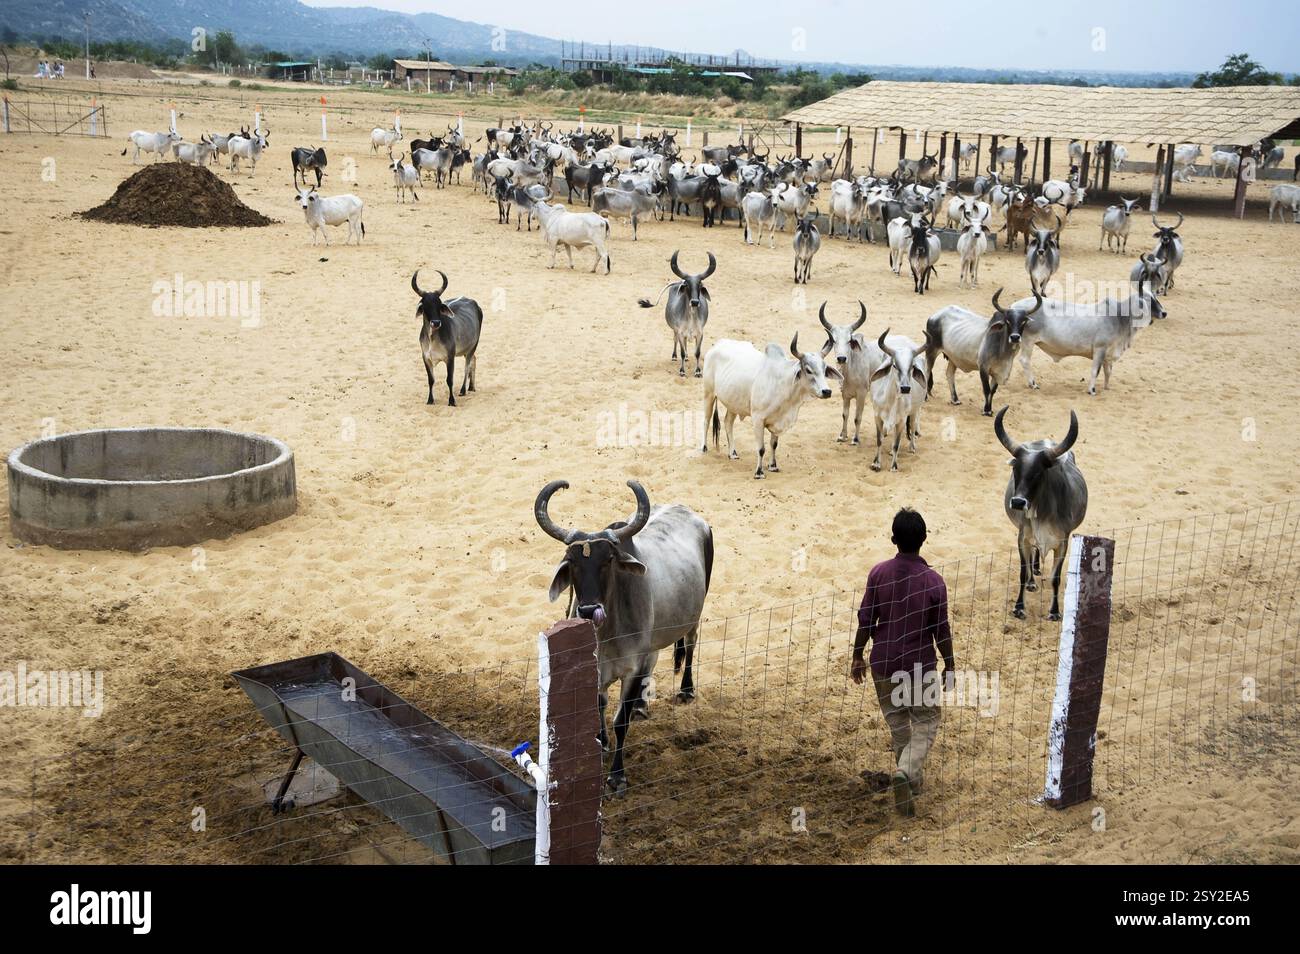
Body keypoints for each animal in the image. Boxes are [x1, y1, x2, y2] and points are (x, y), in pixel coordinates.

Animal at [535, 479, 713, 794]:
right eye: (571, 561)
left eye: (608, 560)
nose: (588, 609)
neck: (607, 636)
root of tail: (692, 515)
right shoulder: (596, 669)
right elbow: (598, 710)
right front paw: (602, 743)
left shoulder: (632, 669)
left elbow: (620, 721)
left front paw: (617, 776)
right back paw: (642, 704)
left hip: (693, 617)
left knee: (690, 646)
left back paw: (686, 690)